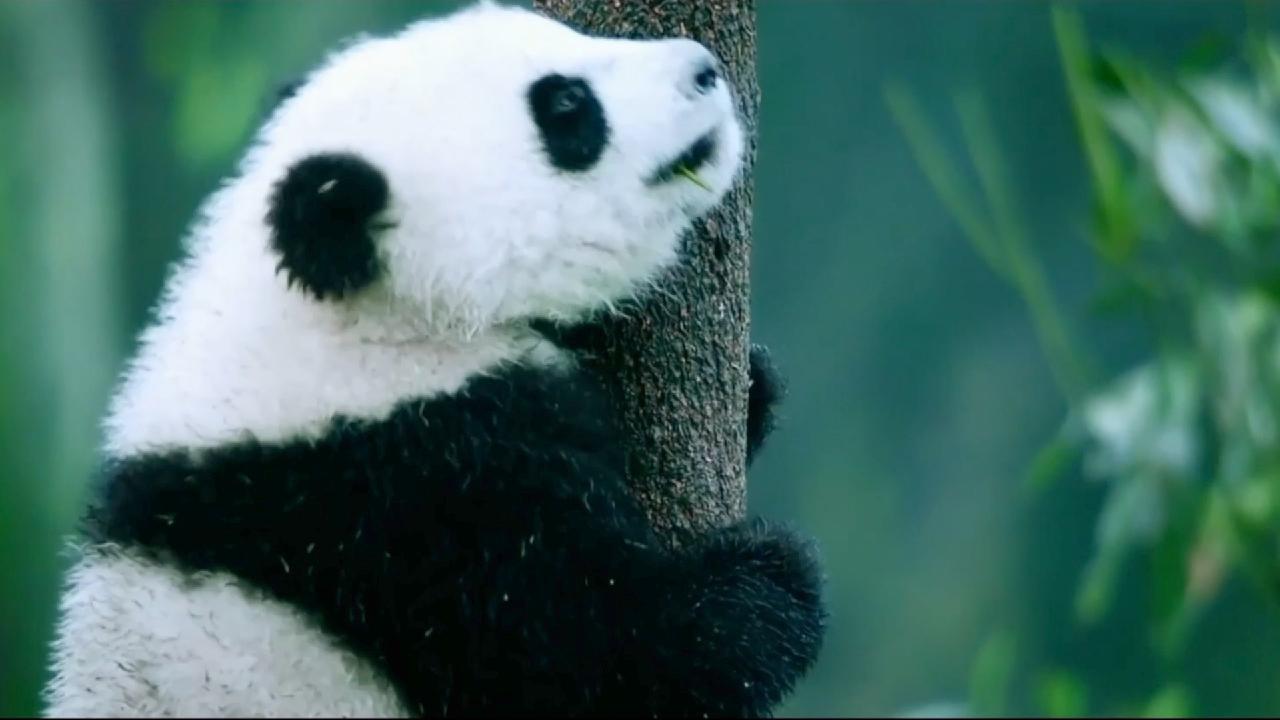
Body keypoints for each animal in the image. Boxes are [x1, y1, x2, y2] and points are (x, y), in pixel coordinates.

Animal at [43, 3, 825, 717]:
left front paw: (757, 391)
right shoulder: (402, 509)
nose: (704, 69)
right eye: (566, 106)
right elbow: (589, 662)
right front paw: (768, 583)